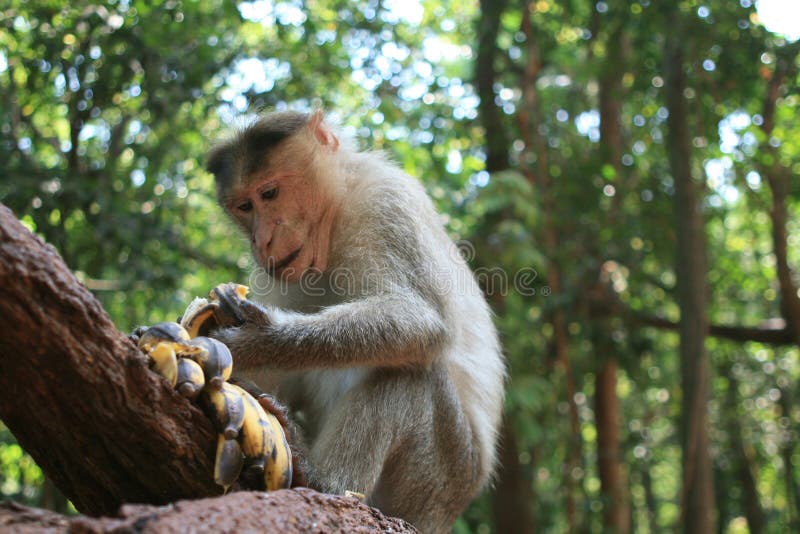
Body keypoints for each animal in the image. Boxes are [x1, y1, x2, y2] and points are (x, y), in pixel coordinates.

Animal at [205, 109, 505, 533]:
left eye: (270, 194)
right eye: (244, 206)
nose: (261, 240)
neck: (333, 219)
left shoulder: (383, 205)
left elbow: (421, 320)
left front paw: (254, 340)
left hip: (440, 476)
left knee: (411, 374)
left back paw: (324, 480)